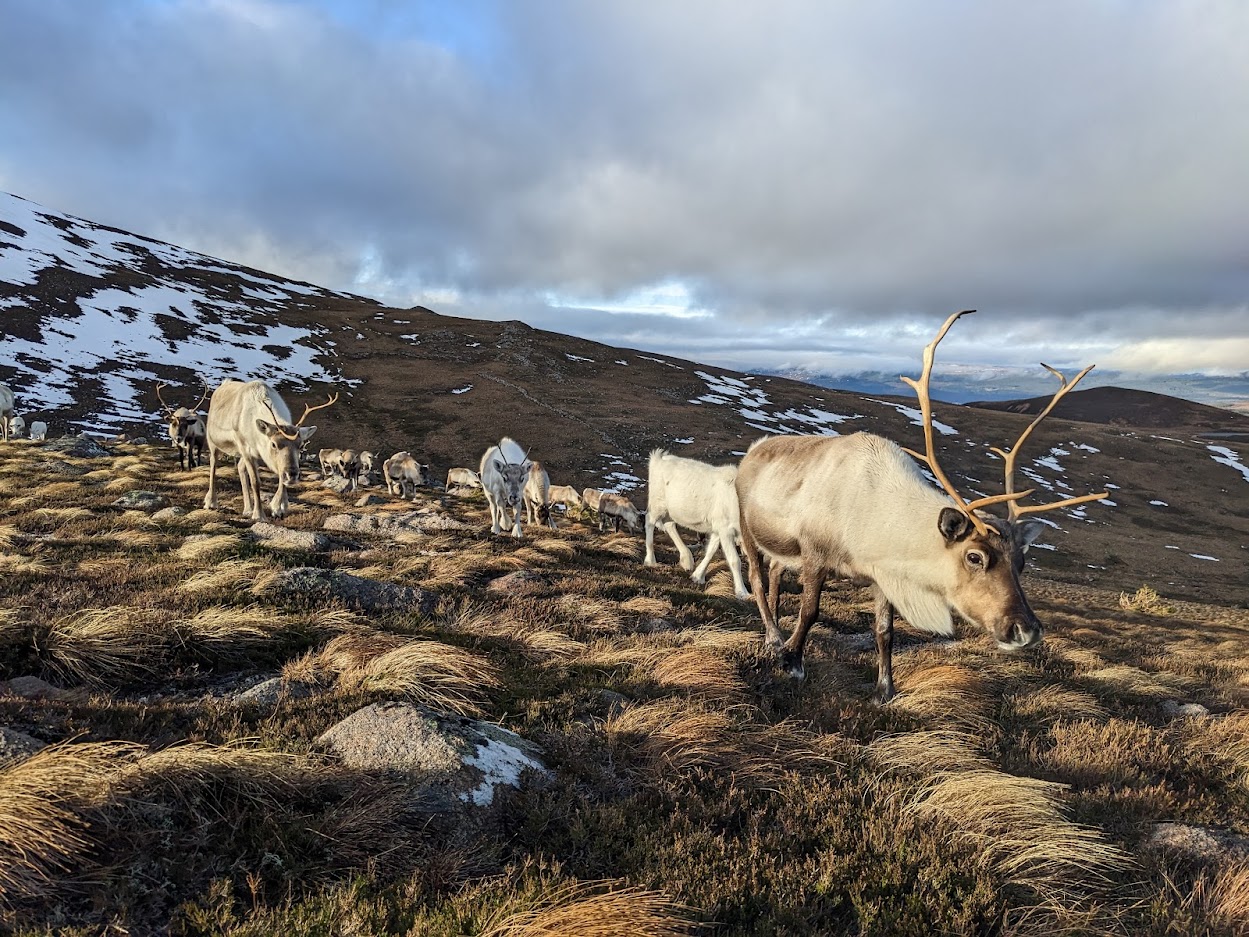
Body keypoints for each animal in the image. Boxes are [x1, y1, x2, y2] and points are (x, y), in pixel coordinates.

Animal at [202, 380, 336, 521]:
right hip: (213, 441)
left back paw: (247, 509)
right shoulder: (246, 449)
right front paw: (259, 515)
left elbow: (281, 478)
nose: (293, 475)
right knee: (213, 465)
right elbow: (255, 482)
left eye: (300, 446)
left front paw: (278, 508)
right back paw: (211, 502)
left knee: (240, 467)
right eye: (273, 444)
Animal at [735, 310, 1108, 702]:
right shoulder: (814, 554)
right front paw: (791, 660)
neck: (875, 518)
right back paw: (774, 636)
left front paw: (885, 689)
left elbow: (884, 630)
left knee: (776, 573)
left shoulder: (883, 575)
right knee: (758, 579)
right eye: (974, 557)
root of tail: (753, 451)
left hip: (779, 544)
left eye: (1021, 561)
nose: (1027, 630)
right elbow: (810, 611)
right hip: (747, 526)